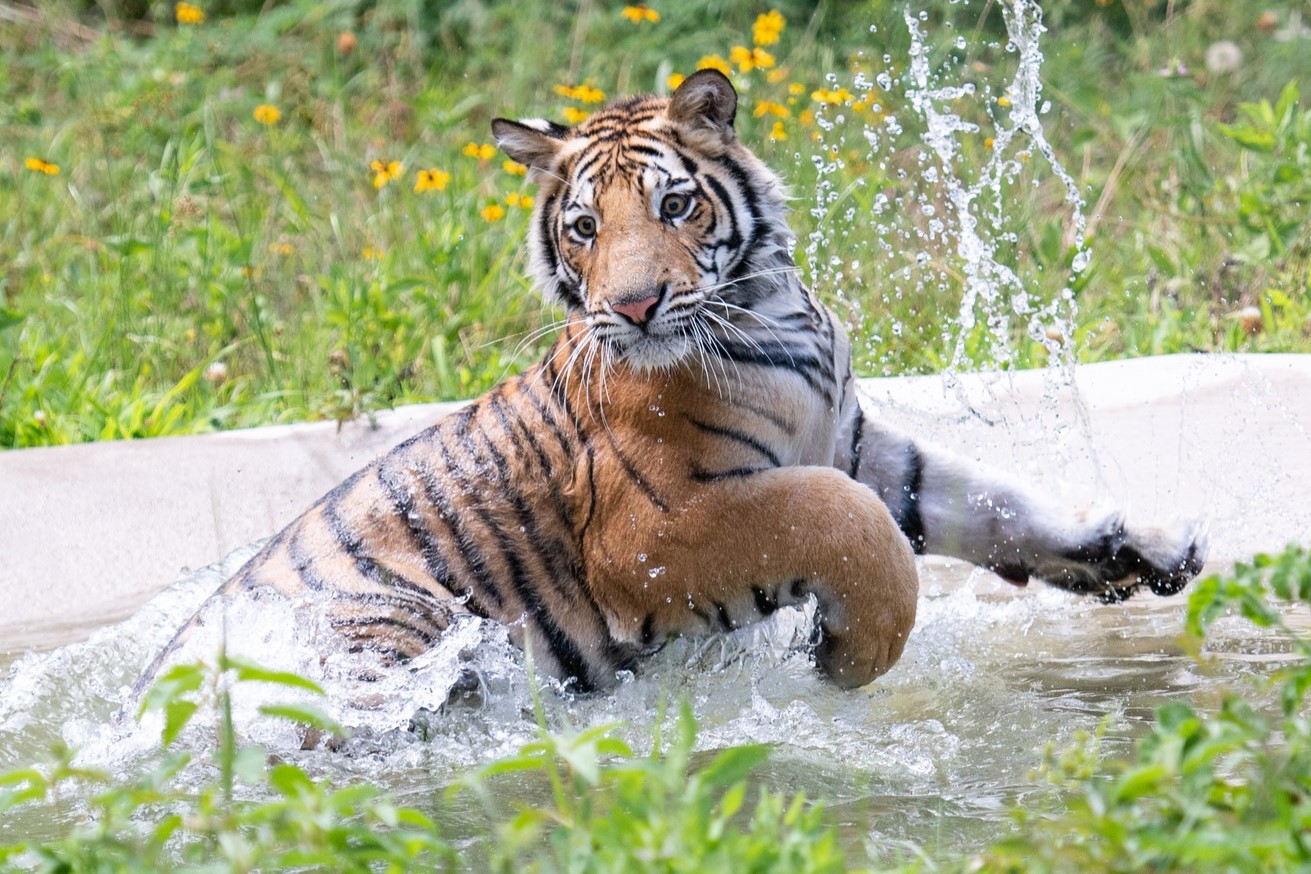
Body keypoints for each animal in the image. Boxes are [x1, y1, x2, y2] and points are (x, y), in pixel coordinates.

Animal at [139, 70, 1206, 695]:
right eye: (582, 227)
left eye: (675, 204)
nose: (634, 305)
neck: (773, 312)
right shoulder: (655, 530)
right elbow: (846, 521)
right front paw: (845, 659)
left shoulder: (854, 439)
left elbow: (990, 501)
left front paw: (1141, 551)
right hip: (392, 617)